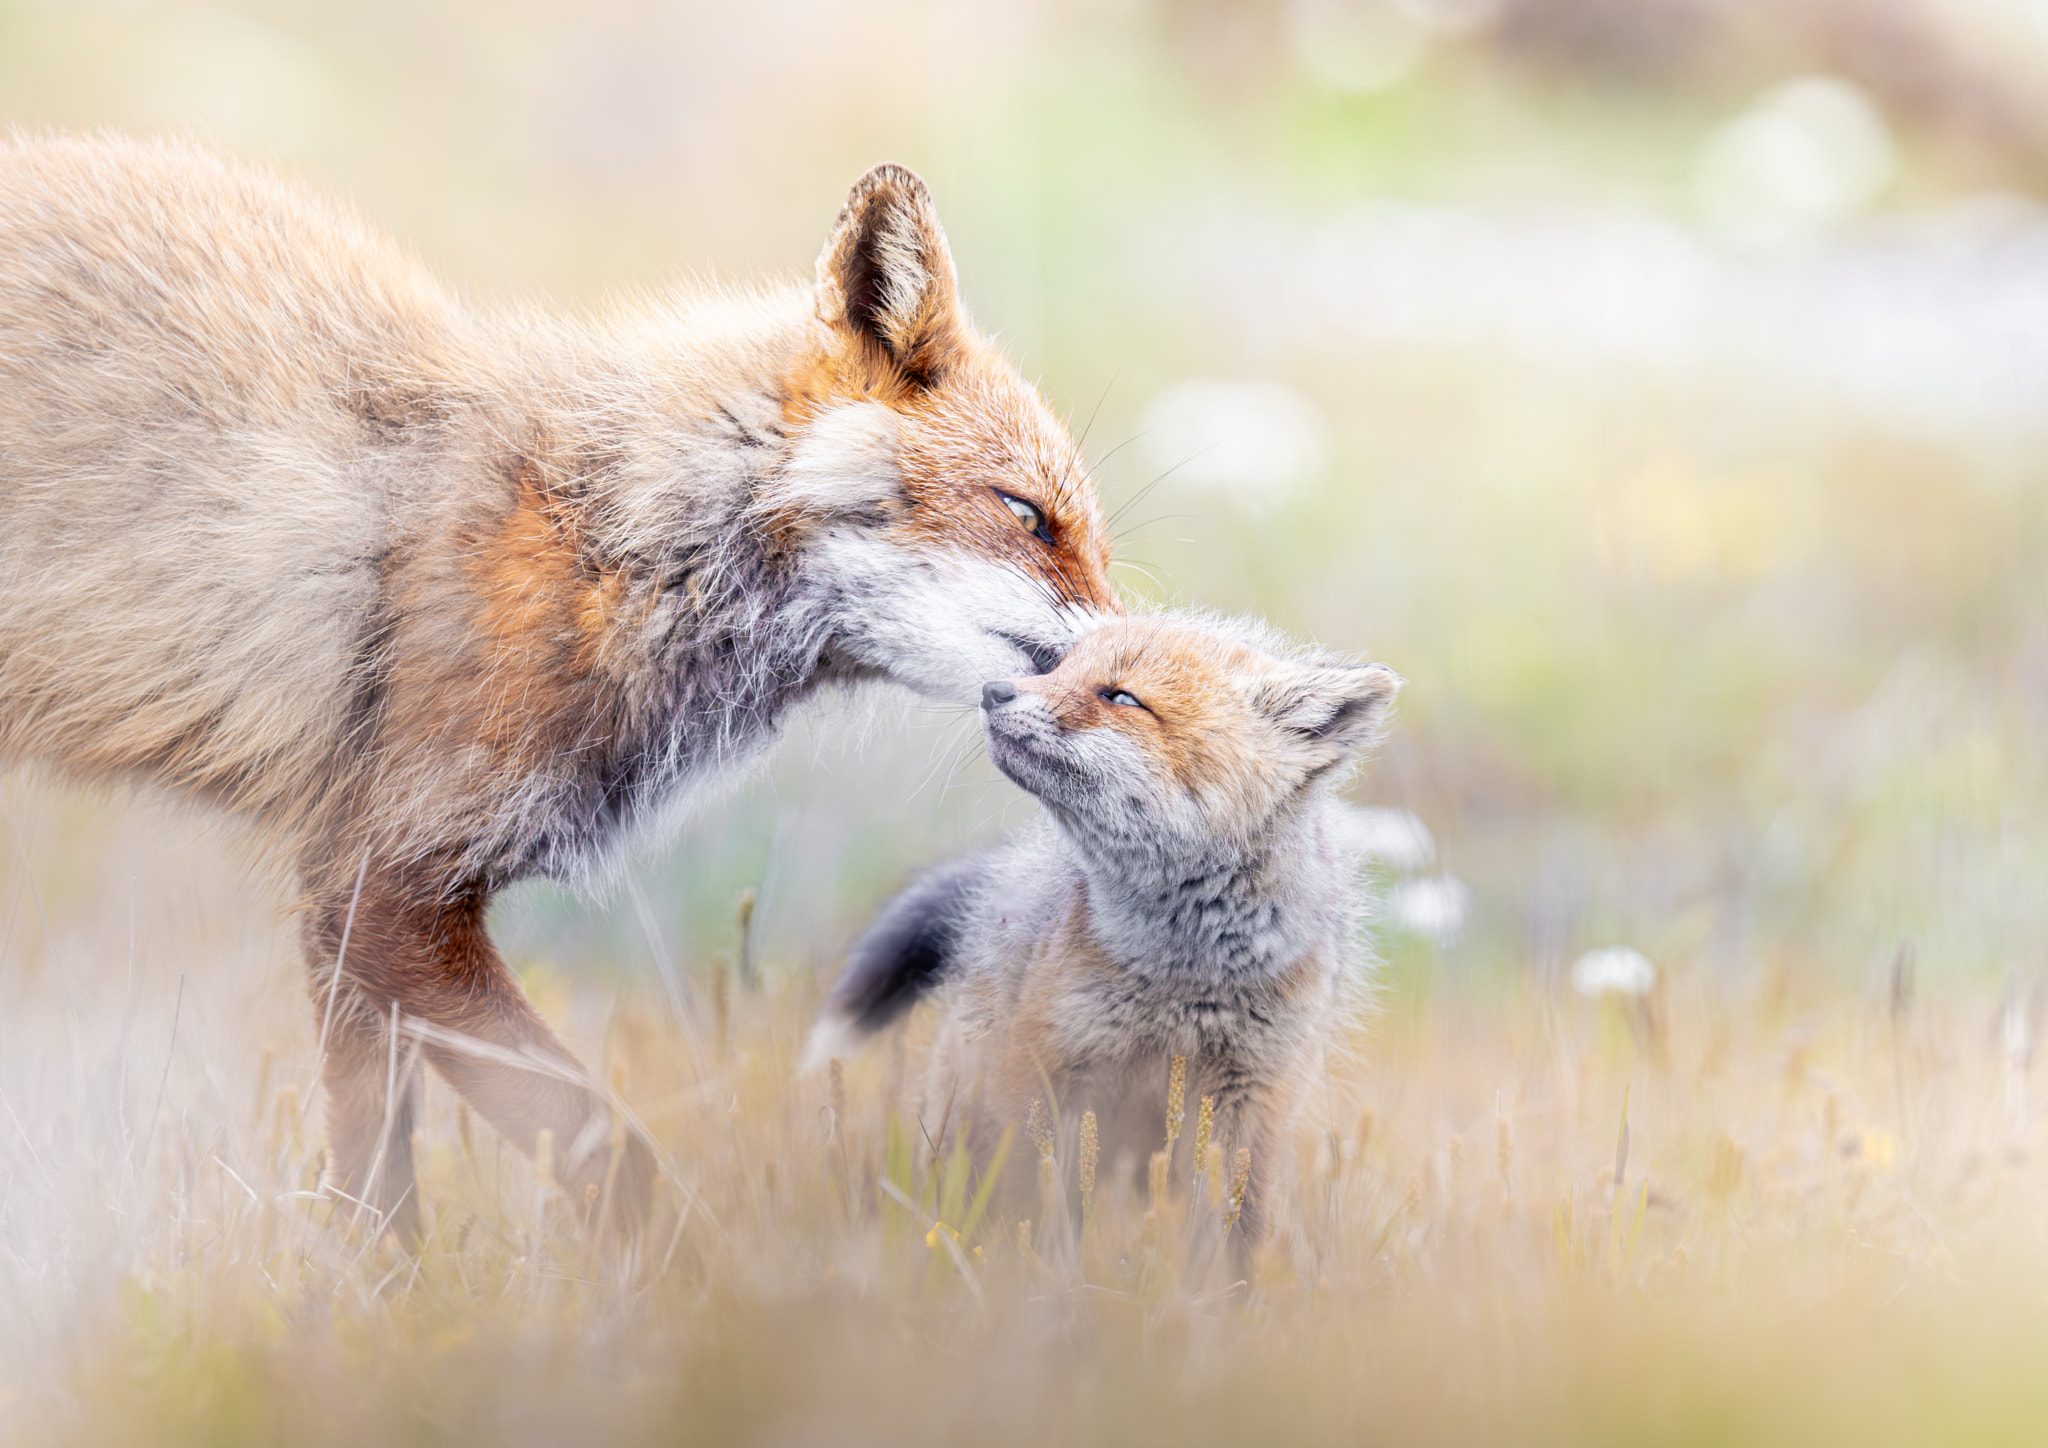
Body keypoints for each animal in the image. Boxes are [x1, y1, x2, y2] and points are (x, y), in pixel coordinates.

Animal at [0, 133, 1116, 1236]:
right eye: (1025, 514)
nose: (1134, 658)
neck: (614, 545)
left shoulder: (347, 894)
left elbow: (373, 1181)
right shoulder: (383, 886)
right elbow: (605, 1153)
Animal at [806, 612, 1399, 1256]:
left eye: (1121, 697)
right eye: (1055, 668)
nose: (993, 689)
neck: (1184, 973)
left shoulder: (1253, 1098)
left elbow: (1231, 1229)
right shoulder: (1044, 1068)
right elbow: (1030, 1200)